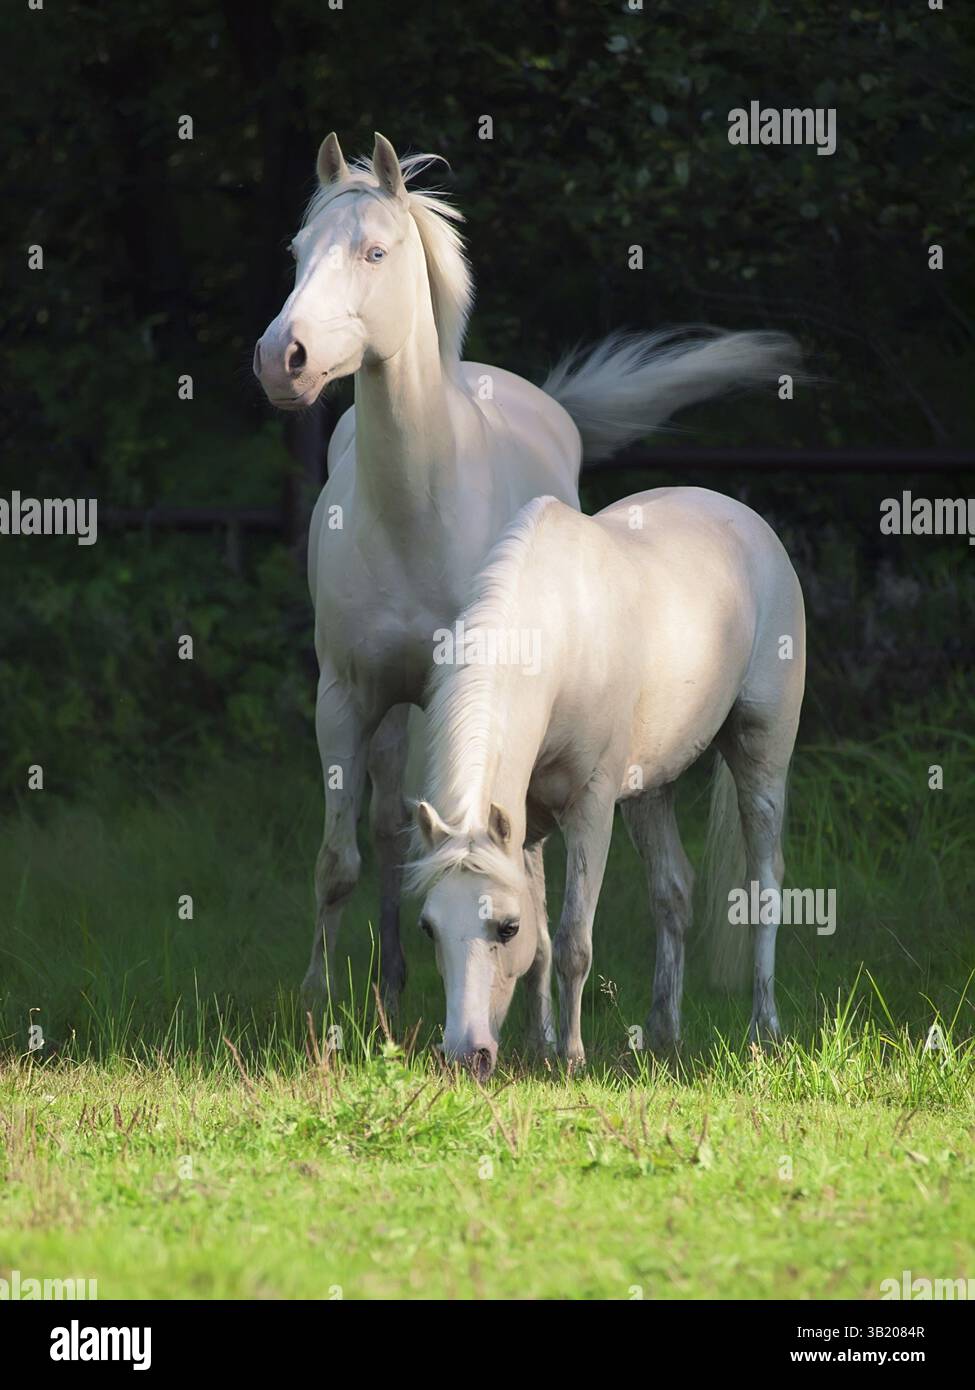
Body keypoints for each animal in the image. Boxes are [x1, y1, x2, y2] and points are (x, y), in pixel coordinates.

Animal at [253, 131, 799, 1007]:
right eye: (299, 251)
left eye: (375, 252)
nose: (283, 358)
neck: (413, 513)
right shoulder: (342, 698)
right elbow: (339, 862)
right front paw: (317, 1007)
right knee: (388, 828)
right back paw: (391, 986)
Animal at [408, 488, 806, 1078]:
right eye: (429, 928)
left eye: (504, 928)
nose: (465, 1055)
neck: (558, 639)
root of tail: (747, 519)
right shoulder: (527, 827)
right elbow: (544, 946)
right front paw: (540, 1044)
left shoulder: (590, 811)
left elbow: (574, 940)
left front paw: (571, 1057)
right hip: (650, 791)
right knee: (673, 891)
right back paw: (663, 1032)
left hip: (762, 754)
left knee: (765, 884)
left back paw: (764, 1029)